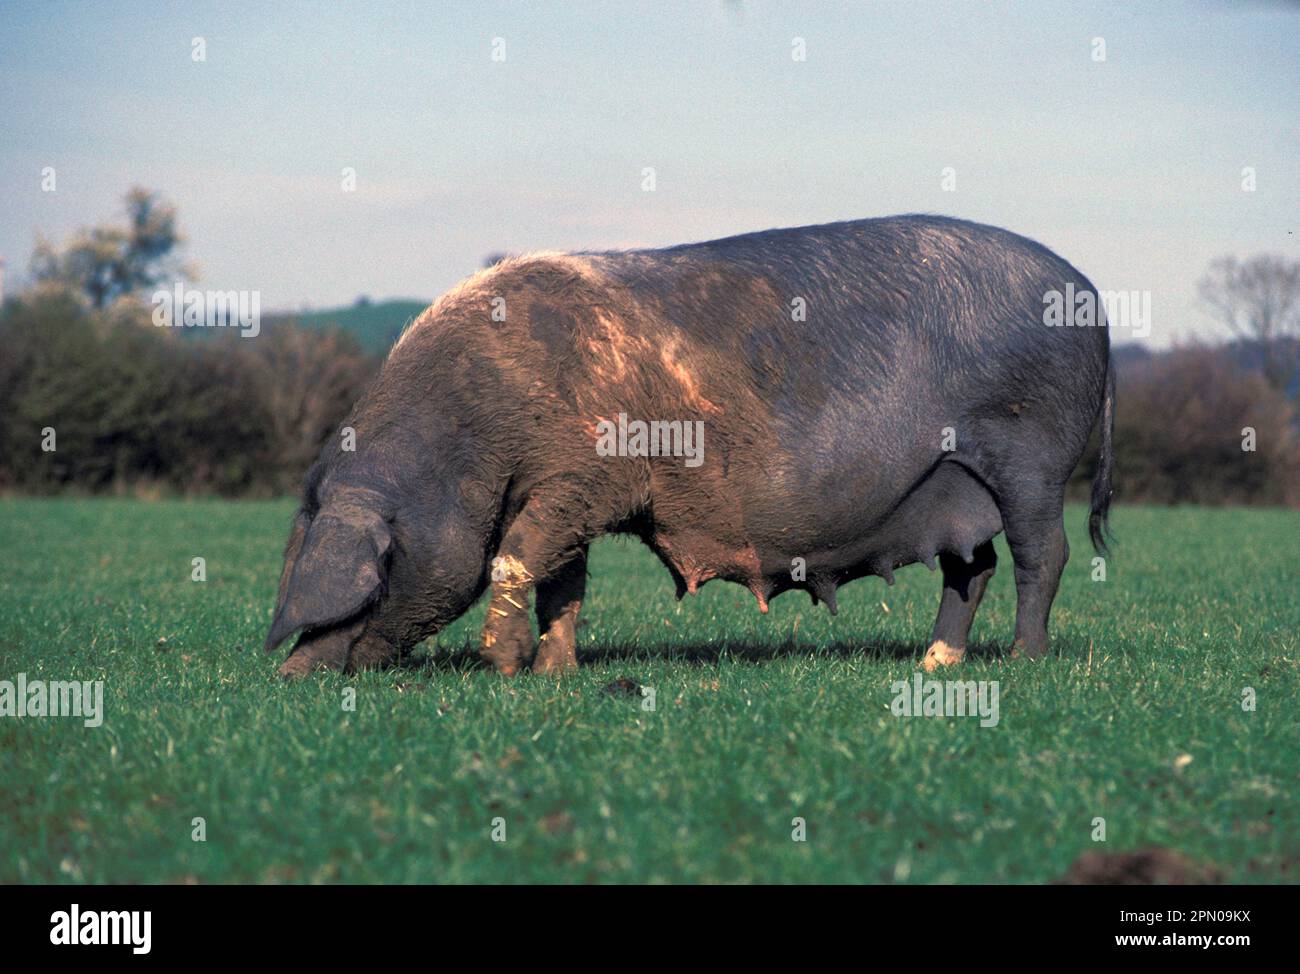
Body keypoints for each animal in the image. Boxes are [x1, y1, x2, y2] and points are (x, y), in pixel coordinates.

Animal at [265, 215, 1114, 678]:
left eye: (378, 574)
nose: (292, 673)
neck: (471, 440)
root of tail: (1093, 296)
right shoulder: (577, 493)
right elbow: (563, 582)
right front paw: (556, 673)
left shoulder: (583, 477)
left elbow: (516, 555)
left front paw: (503, 669)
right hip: (954, 480)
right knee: (972, 565)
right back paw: (937, 661)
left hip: (1032, 453)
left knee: (1045, 552)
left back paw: (1023, 659)